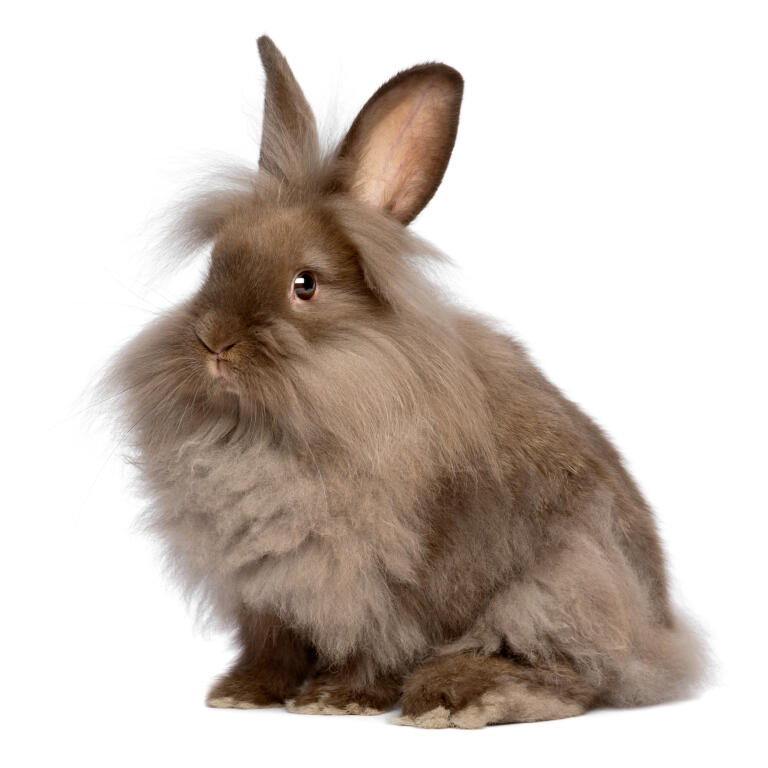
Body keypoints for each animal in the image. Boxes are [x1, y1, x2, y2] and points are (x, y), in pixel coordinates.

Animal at [106, 36, 706, 728]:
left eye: (305, 284)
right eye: (215, 264)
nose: (214, 344)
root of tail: (660, 631)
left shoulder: (378, 581)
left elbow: (378, 642)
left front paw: (337, 700)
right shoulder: (263, 589)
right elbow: (271, 646)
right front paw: (242, 693)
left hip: (562, 585)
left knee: (573, 676)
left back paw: (452, 699)